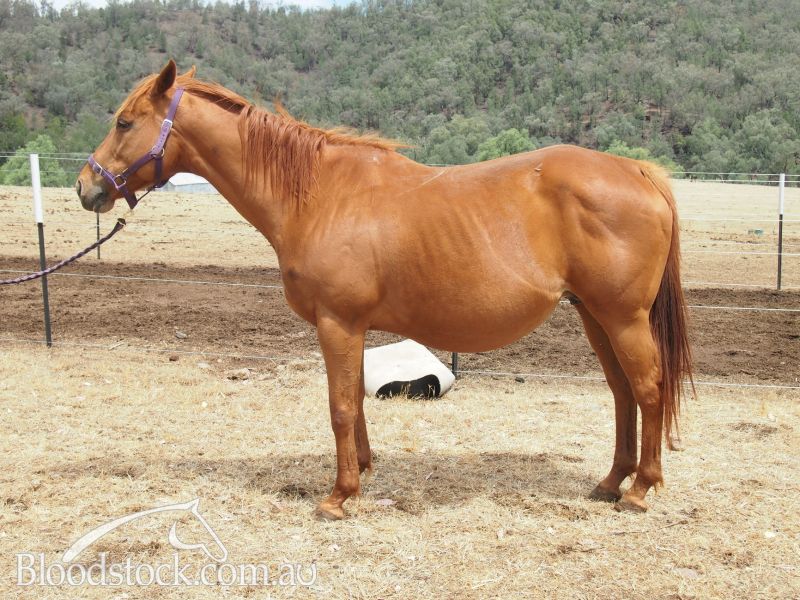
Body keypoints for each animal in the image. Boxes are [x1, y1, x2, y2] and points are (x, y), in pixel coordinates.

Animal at [77, 60, 693, 520]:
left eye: (125, 122)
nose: (87, 187)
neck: (319, 195)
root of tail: (637, 170)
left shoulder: (338, 323)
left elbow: (340, 407)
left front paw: (337, 497)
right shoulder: (351, 328)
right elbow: (353, 404)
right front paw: (363, 472)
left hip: (622, 317)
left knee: (648, 389)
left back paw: (640, 490)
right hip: (594, 315)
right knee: (621, 394)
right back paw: (610, 483)